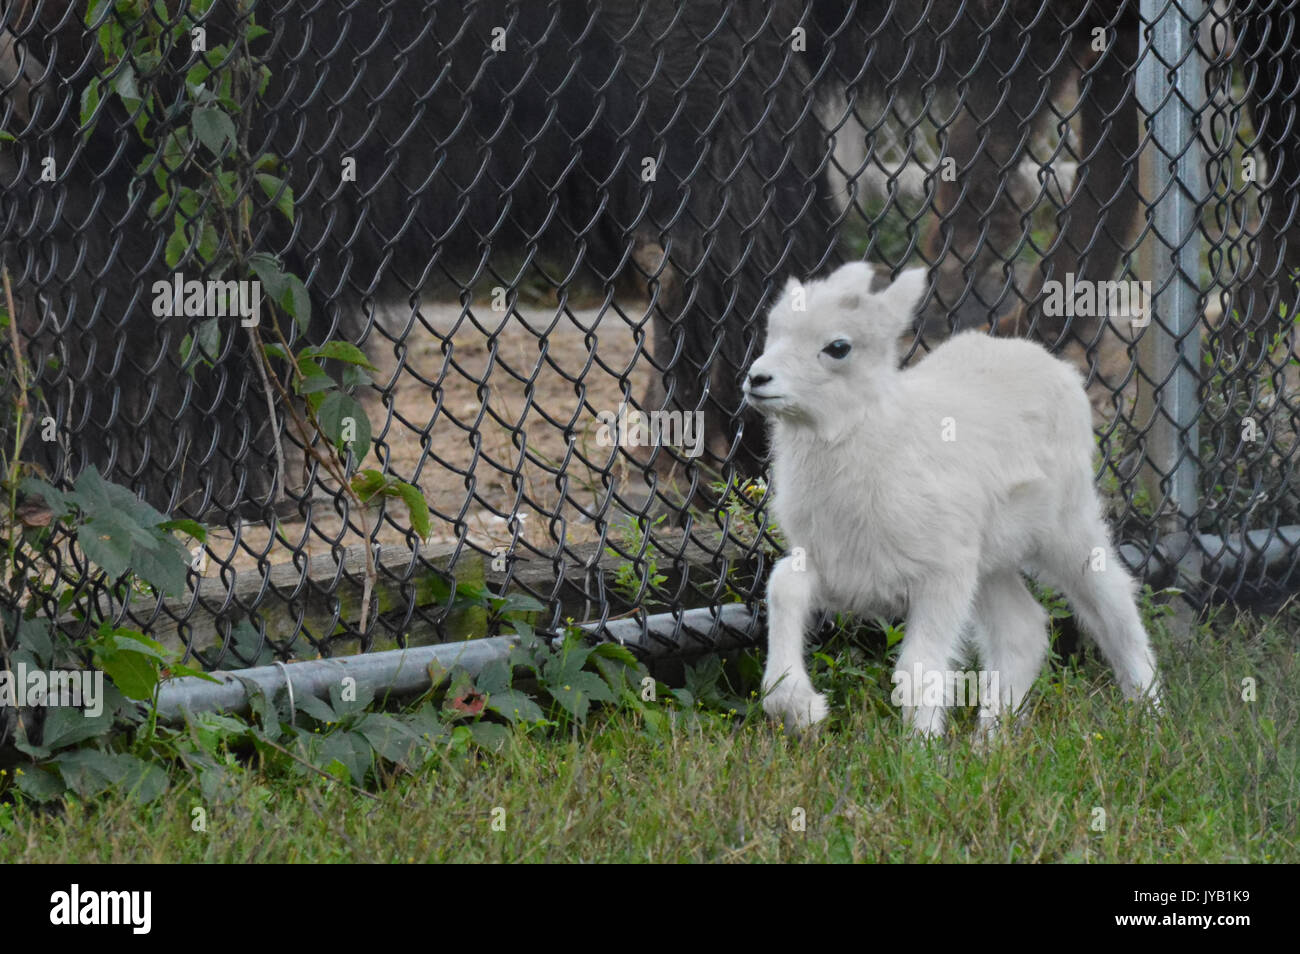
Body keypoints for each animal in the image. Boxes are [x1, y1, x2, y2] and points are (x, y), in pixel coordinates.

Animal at [744, 262, 1161, 737]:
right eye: (773, 330)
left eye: (838, 347)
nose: (757, 380)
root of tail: (1050, 365)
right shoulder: (832, 566)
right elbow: (783, 589)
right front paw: (801, 708)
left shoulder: (943, 576)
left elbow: (918, 669)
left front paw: (919, 749)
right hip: (990, 564)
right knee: (1022, 631)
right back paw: (991, 740)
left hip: (1066, 526)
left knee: (1113, 601)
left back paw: (1150, 714)